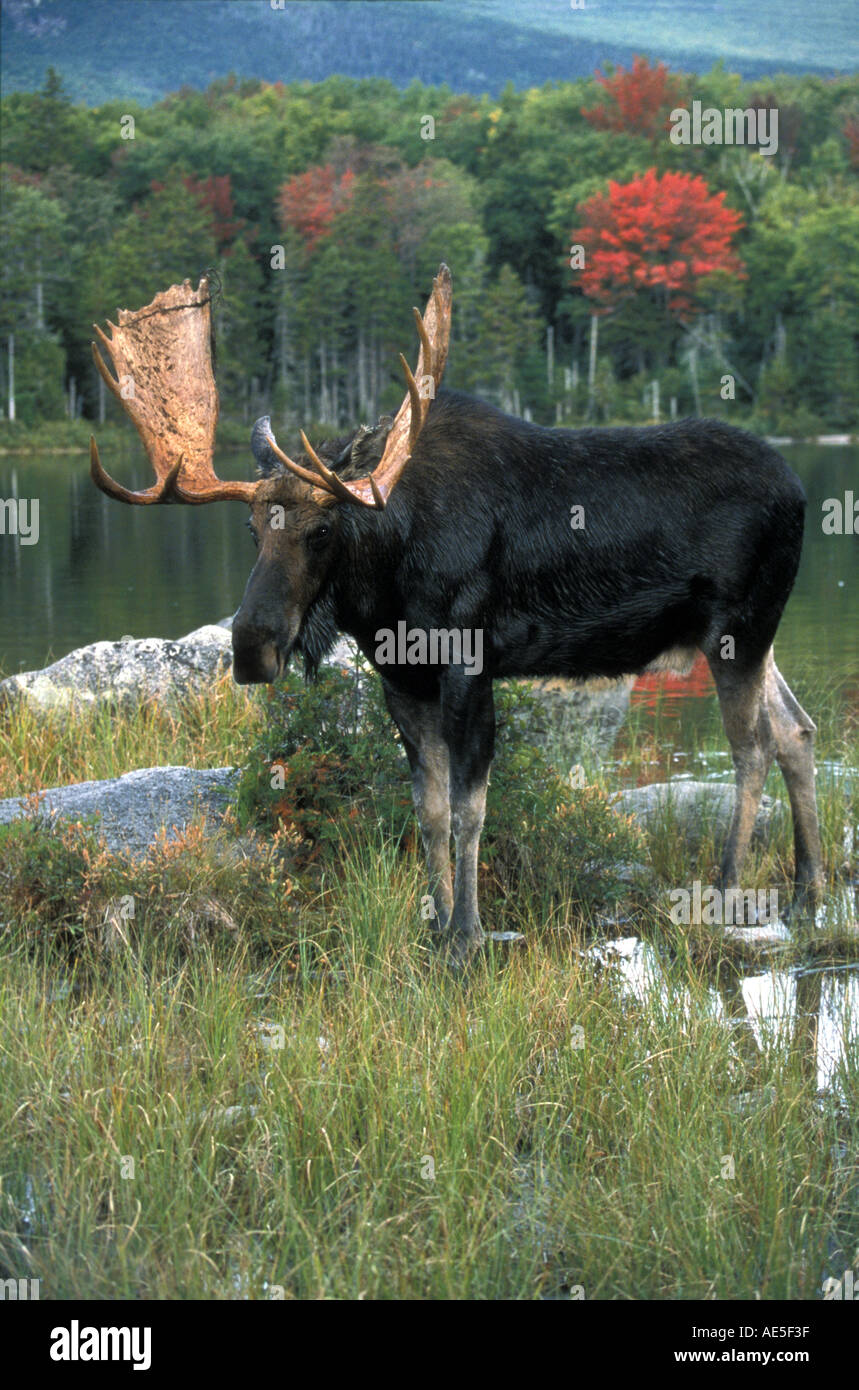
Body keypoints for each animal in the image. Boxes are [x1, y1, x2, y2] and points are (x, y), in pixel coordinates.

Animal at [89, 266, 824, 965]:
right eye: (249, 530)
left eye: (322, 531)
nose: (251, 646)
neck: (384, 582)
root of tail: (799, 489)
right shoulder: (400, 679)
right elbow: (430, 810)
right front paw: (438, 925)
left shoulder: (468, 664)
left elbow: (472, 808)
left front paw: (468, 935)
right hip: (748, 637)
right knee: (797, 729)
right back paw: (805, 894)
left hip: (737, 630)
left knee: (752, 747)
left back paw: (726, 891)